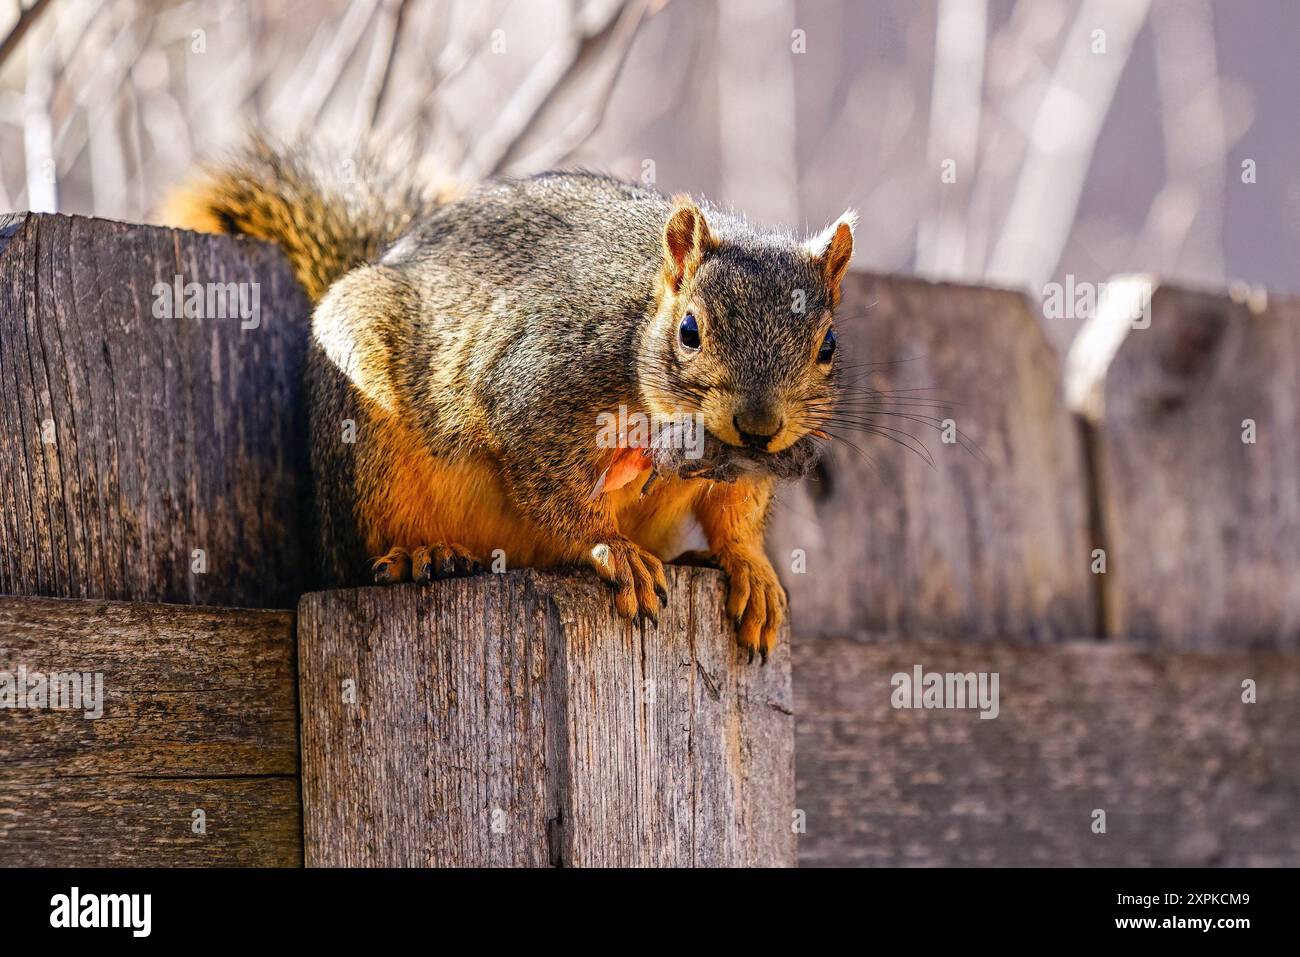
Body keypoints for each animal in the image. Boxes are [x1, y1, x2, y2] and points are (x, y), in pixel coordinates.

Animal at [166, 139, 854, 662]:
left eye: (828, 344)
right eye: (689, 331)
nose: (758, 426)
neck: (641, 309)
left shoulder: (744, 466)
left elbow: (737, 510)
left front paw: (750, 568)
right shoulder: (538, 390)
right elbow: (552, 489)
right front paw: (612, 548)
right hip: (364, 448)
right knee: (366, 553)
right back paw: (421, 553)